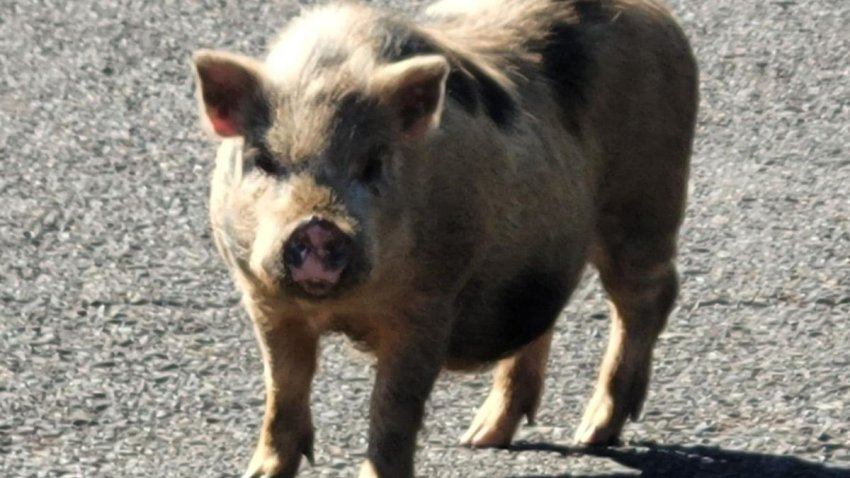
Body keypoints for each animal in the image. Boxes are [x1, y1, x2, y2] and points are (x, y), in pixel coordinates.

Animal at [190, 0, 698, 476]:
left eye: (373, 163)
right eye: (265, 161)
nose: (318, 225)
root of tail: (656, 16)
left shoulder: (431, 299)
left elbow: (394, 406)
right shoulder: (264, 299)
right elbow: (283, 392)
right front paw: (258, 472)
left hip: (646, 201)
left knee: (648, 298)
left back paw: (590, 434)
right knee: (544, 313)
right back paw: (482, 438)